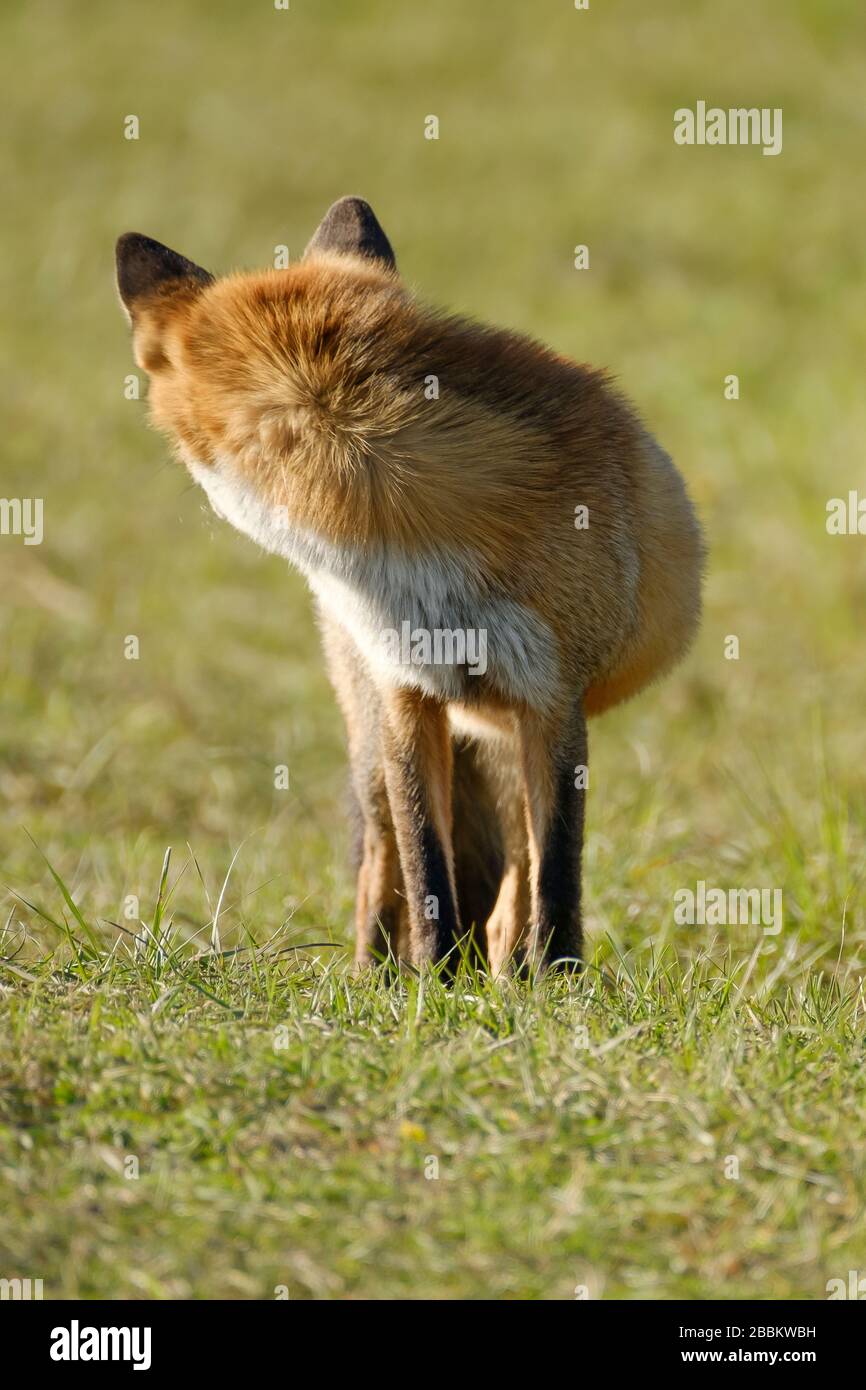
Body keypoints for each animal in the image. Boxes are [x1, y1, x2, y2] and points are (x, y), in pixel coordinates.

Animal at [115, 196, 703, 975]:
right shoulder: (404, 689)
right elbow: (425, 863)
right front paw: (437, 981)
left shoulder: (552, 699)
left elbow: (557, 875)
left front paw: (561, 980)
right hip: (374, 745)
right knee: (384, 861)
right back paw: (375, 974)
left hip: (504, 736)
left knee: (512, 885)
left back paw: (512, 974)